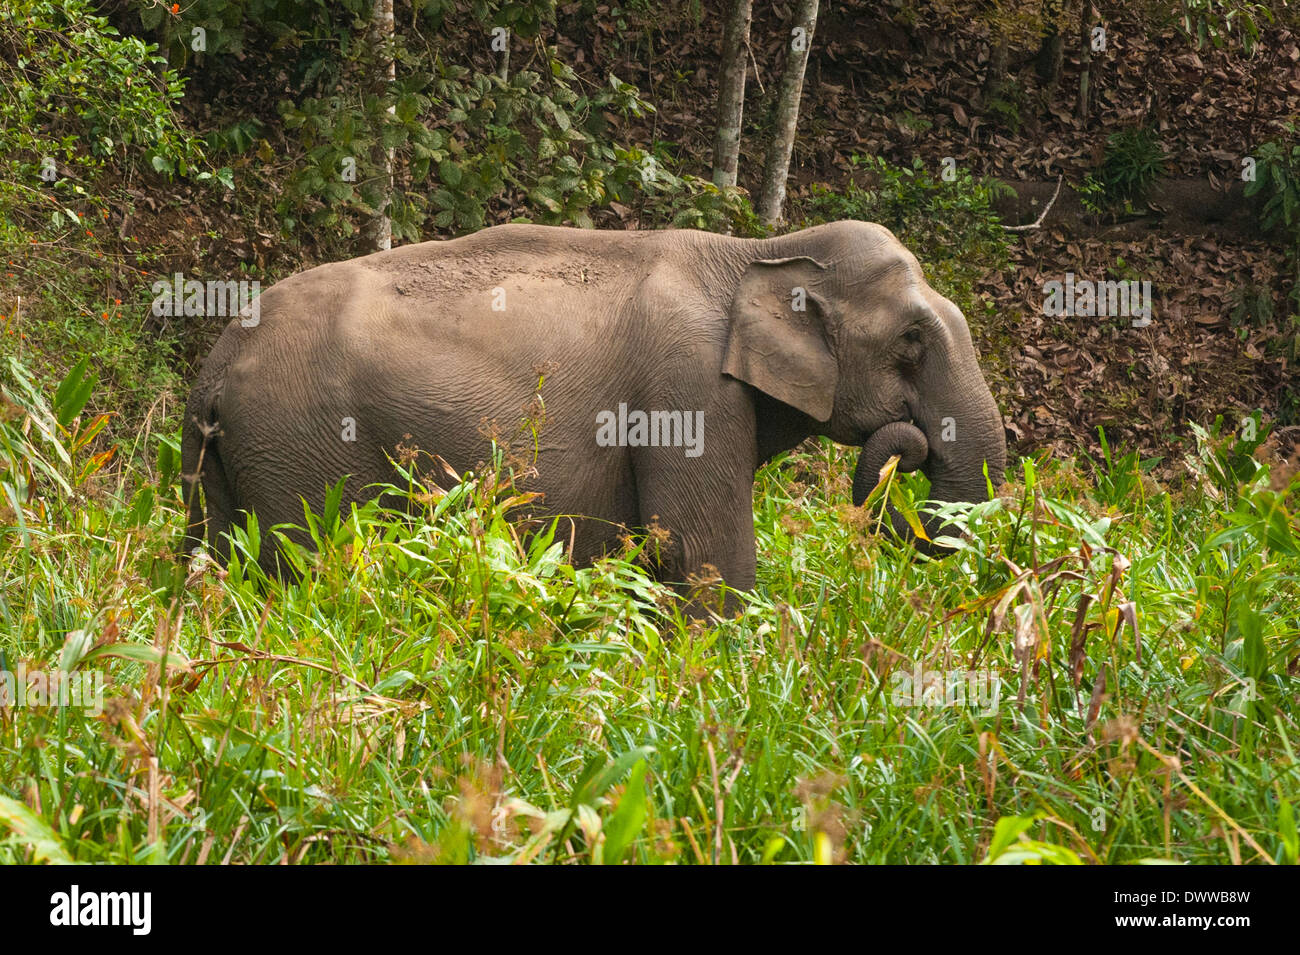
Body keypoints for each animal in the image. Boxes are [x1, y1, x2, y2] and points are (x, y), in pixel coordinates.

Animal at [181, 220, 1007, 596]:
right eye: (910, 341)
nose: (908, 443)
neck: (757, 250)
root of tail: (213, 368)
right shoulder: (685, 390)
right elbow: (705, 556)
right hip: (302, 452)